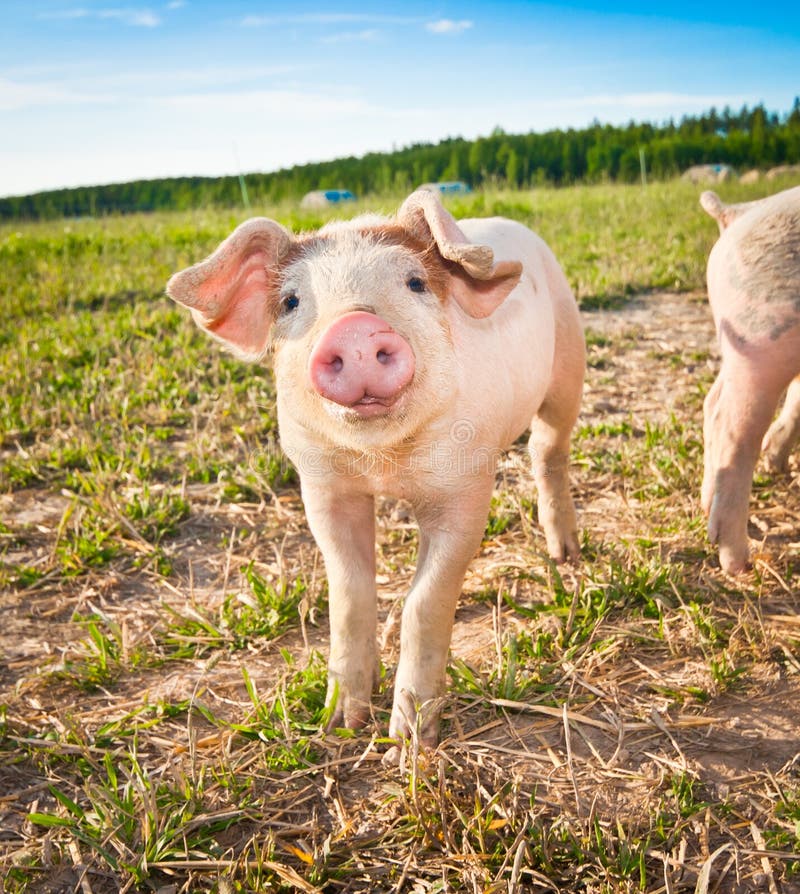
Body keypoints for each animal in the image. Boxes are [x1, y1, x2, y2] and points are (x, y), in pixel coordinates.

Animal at [167, 189, 585, 749]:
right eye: (291, 301)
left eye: (415, 282)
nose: (354, 328)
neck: (382, 461)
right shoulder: (321, 485)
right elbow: (348, 592)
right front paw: (339, 725)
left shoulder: (467, 488)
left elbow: (424, 601)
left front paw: (409, 741)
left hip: (569, 364)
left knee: (548, 450)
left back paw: (566, 556)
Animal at [699, 185, 800, 574]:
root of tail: (737, 213)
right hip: (761, 340)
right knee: (731, 429)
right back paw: (739, 563)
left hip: (740, 345)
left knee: (712, 403)